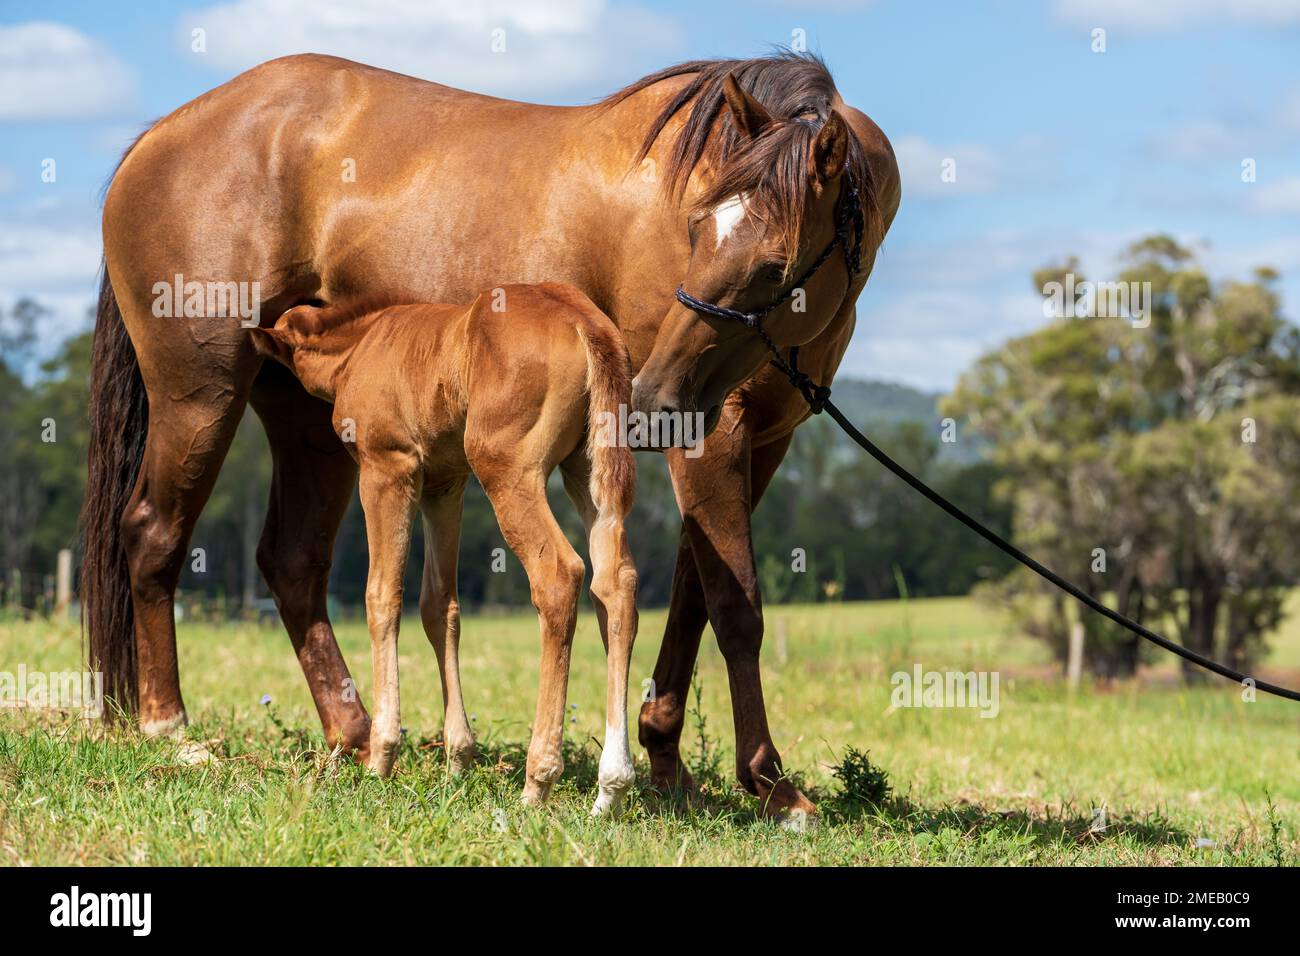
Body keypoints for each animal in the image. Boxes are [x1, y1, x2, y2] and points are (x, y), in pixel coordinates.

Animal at [249, 285, 638, 813]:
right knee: (614, 585)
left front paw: (382, 757)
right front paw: (458, 760)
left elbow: (382, 595)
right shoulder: (444, 484)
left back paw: (538, 781)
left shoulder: (388, 468)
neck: (359, 346)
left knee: (560, 575)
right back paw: (610, 788)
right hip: (587, 468)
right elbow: (439, 606)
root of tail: (586, 324)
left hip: (506, 467)